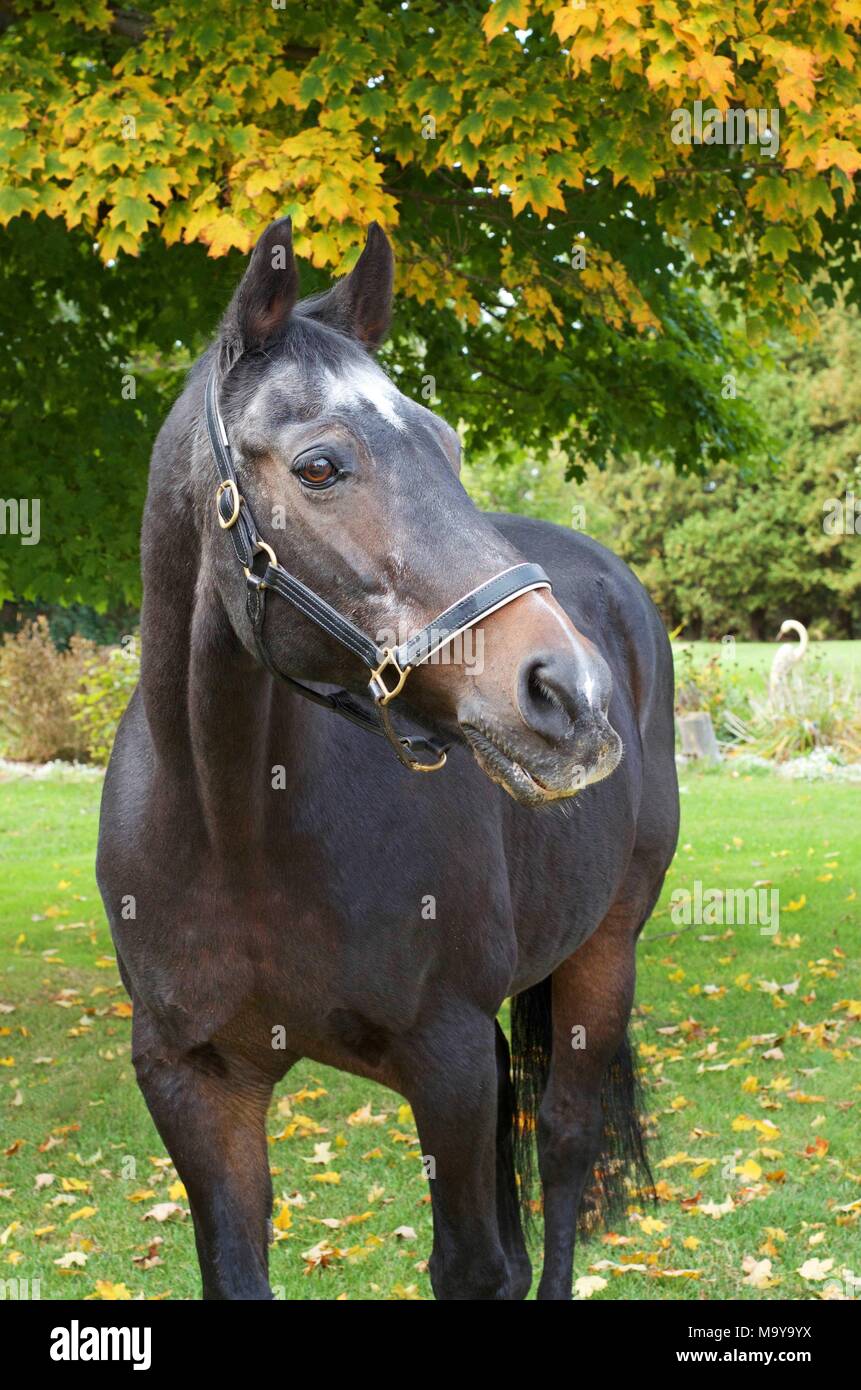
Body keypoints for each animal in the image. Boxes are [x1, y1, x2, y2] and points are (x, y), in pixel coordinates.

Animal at [96, 218, 679, 1301]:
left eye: (447, 443)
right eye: (321, 465)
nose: (571, 693)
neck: (233, 825)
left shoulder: (443, 1064)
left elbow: (475, 1264)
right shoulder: (194, 1084)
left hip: (604, 952)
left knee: (564, 1146)